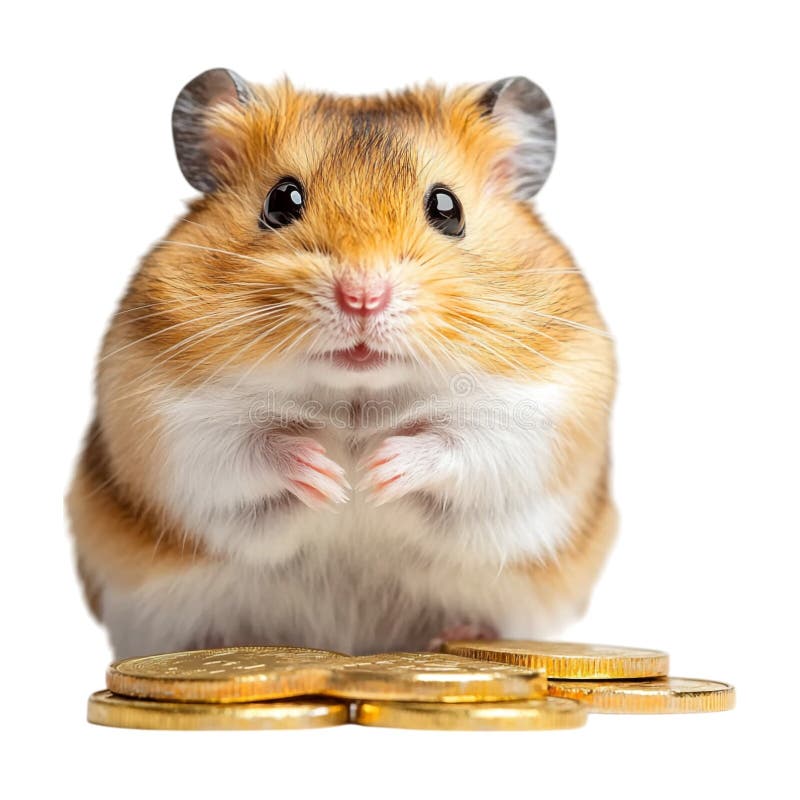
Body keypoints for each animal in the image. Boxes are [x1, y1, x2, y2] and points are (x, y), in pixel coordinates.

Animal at [67, 69, 617, 658]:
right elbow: (250, 450)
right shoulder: (171, 421)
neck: (357, 395)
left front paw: (374, 472)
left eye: (448, 209)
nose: (362, 296)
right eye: (281, 201)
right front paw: (331, 476)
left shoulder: (538, 419)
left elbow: (457, 445)